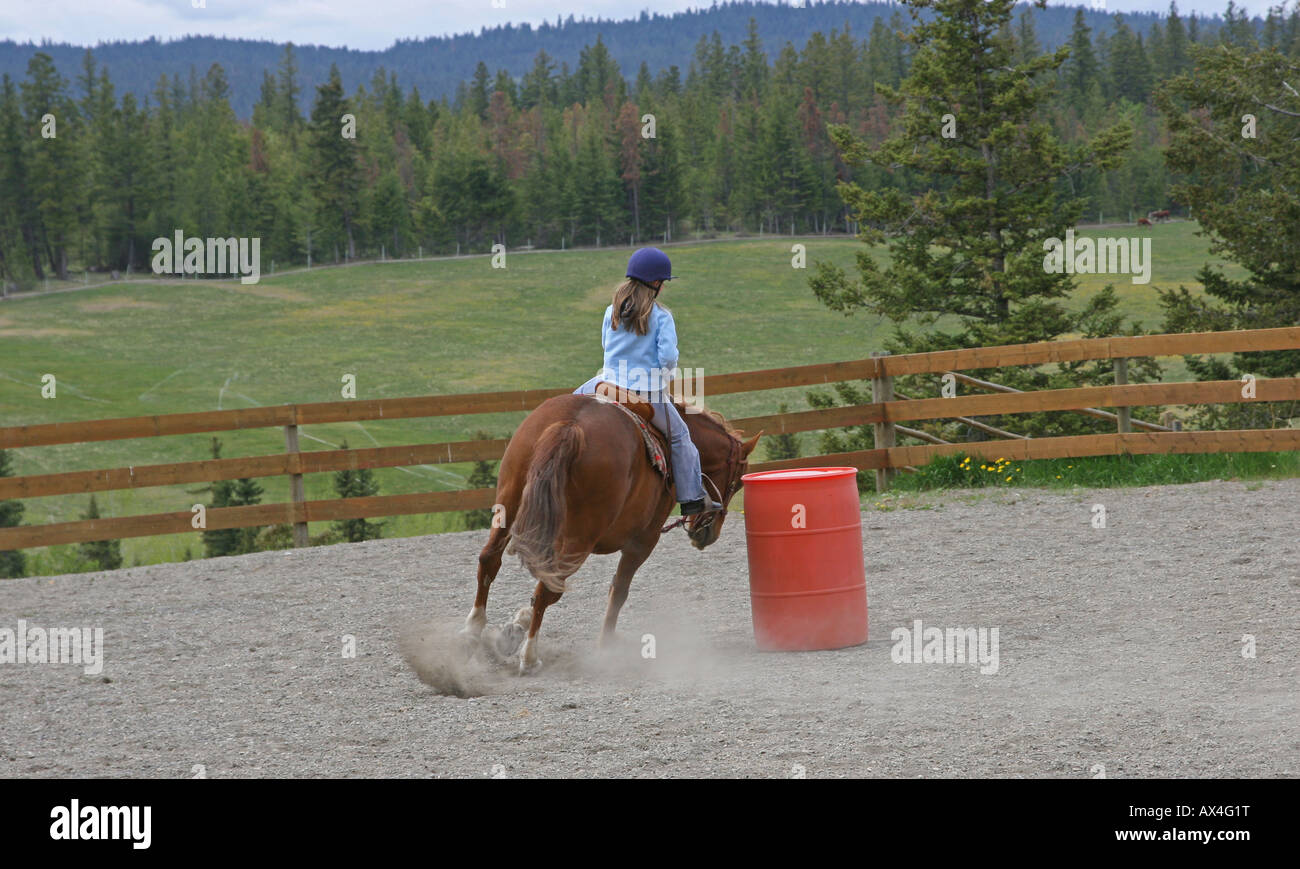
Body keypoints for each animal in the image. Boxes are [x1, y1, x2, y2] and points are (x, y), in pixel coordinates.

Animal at [461, 391, 761, 674]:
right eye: (736, 484)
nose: (708, 534)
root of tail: (570, 425)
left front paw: (515, 625)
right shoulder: (644, 539)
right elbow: (619, 588)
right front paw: (605, 644)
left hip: (509, 507)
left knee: (490, 560)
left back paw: (472, 632)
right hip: (580, 540)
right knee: (548, 587)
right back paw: (530, 657)